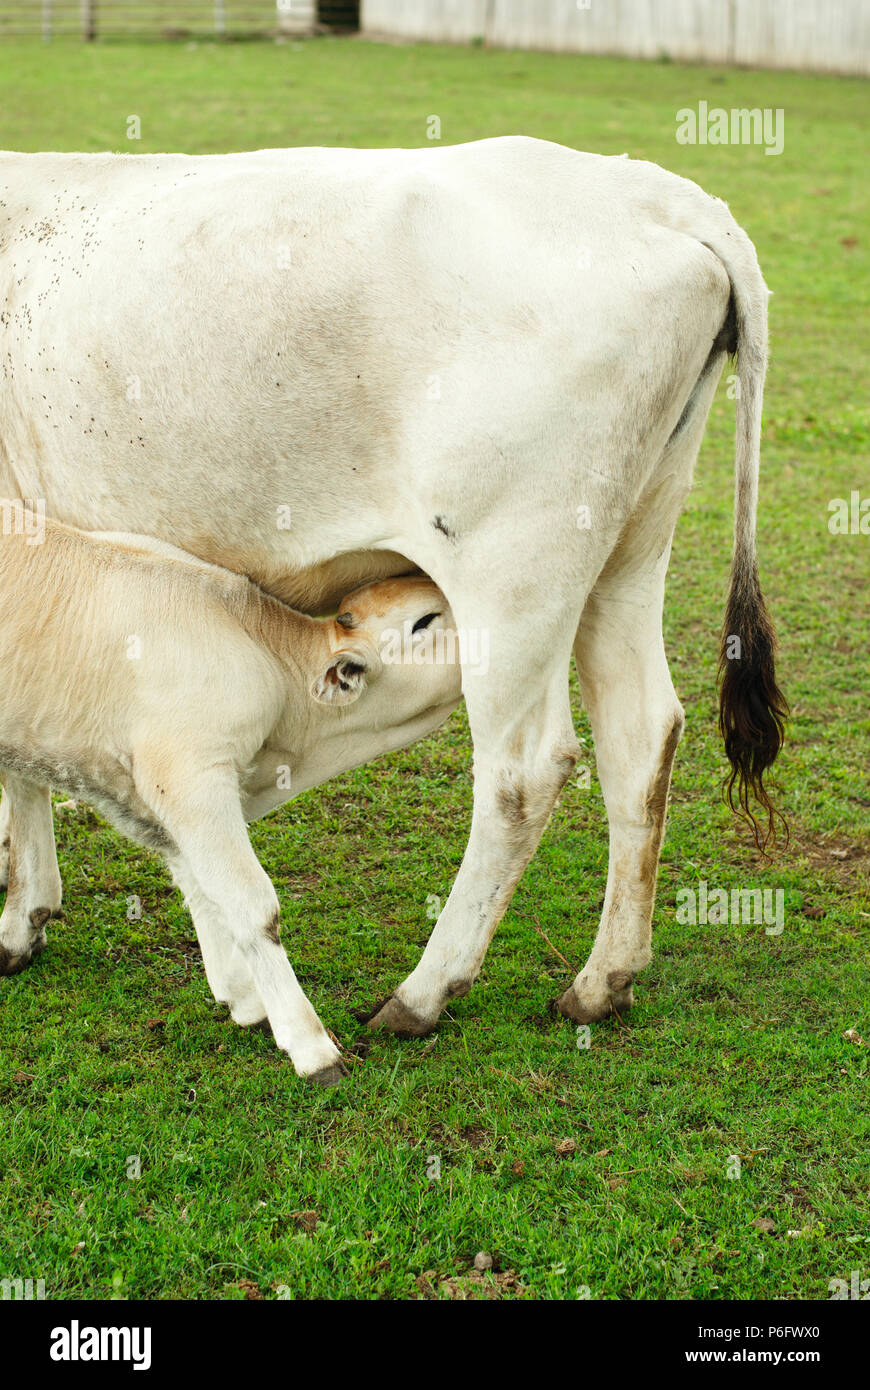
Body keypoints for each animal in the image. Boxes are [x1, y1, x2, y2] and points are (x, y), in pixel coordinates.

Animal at [0, 520, 461, 1082]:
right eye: (425, 621)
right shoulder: (190, 776)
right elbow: (251, 903)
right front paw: (308, 1043)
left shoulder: (158, 794)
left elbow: (203, 886)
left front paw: (243, 994)